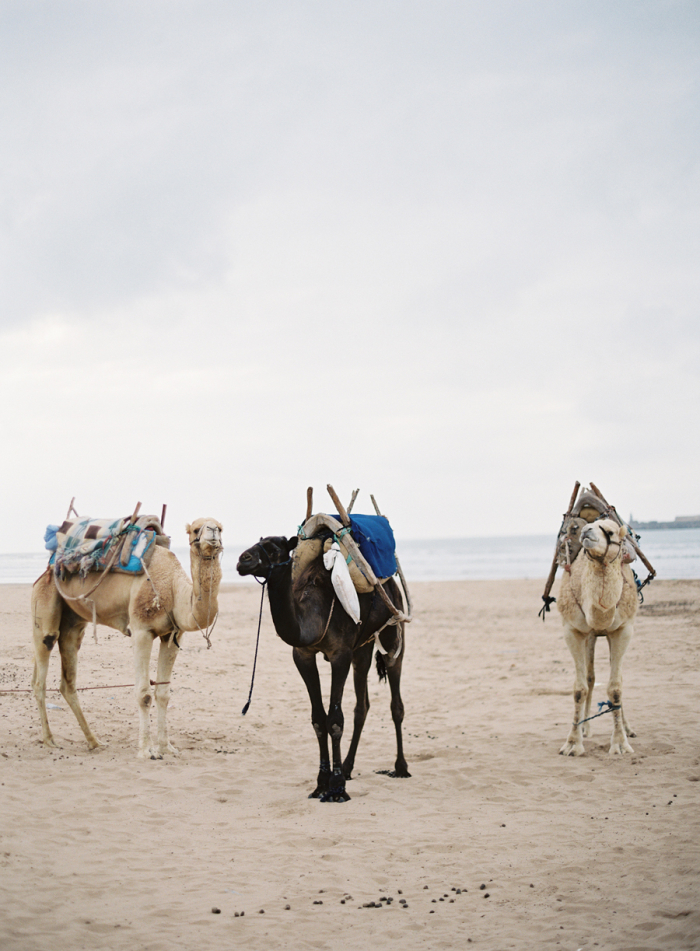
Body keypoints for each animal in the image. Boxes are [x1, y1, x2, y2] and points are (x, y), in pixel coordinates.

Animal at [31, 518, 223, 759]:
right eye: (197, 529)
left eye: (221, 527)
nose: (213, 532)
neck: (172, 587)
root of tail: (48, 570)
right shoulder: (142, 630)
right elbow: (144, 694)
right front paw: (146, 750)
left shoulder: (173, 635)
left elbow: (163, 693)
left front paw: (166, 747)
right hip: (46, 601)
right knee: (41, 670)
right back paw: (49, 740)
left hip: (74, 624)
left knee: (67, 680)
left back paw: (94, 741)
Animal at [236, 534, 410, 802]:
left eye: (274, 549)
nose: (243, 559)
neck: (314, 614)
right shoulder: (303, 655)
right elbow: (318, 719)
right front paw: (321, 784)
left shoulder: (340, 654)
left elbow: (335, 719)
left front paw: (337, 788)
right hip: (362, 649)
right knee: (362, 706)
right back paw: (348, 767)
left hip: (393, 631)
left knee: (396, 702)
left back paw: (400, 767)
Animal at [557, 518, 638, 756]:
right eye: (585, 528)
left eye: (610, 531)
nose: (585, 531)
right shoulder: (572, 630)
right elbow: (579, 688)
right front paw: (572, 743)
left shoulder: (624, 629)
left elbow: (616, 688)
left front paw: (620, 743)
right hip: (591, 636)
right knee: (591, 677)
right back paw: (585, 728)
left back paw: (628, 728)